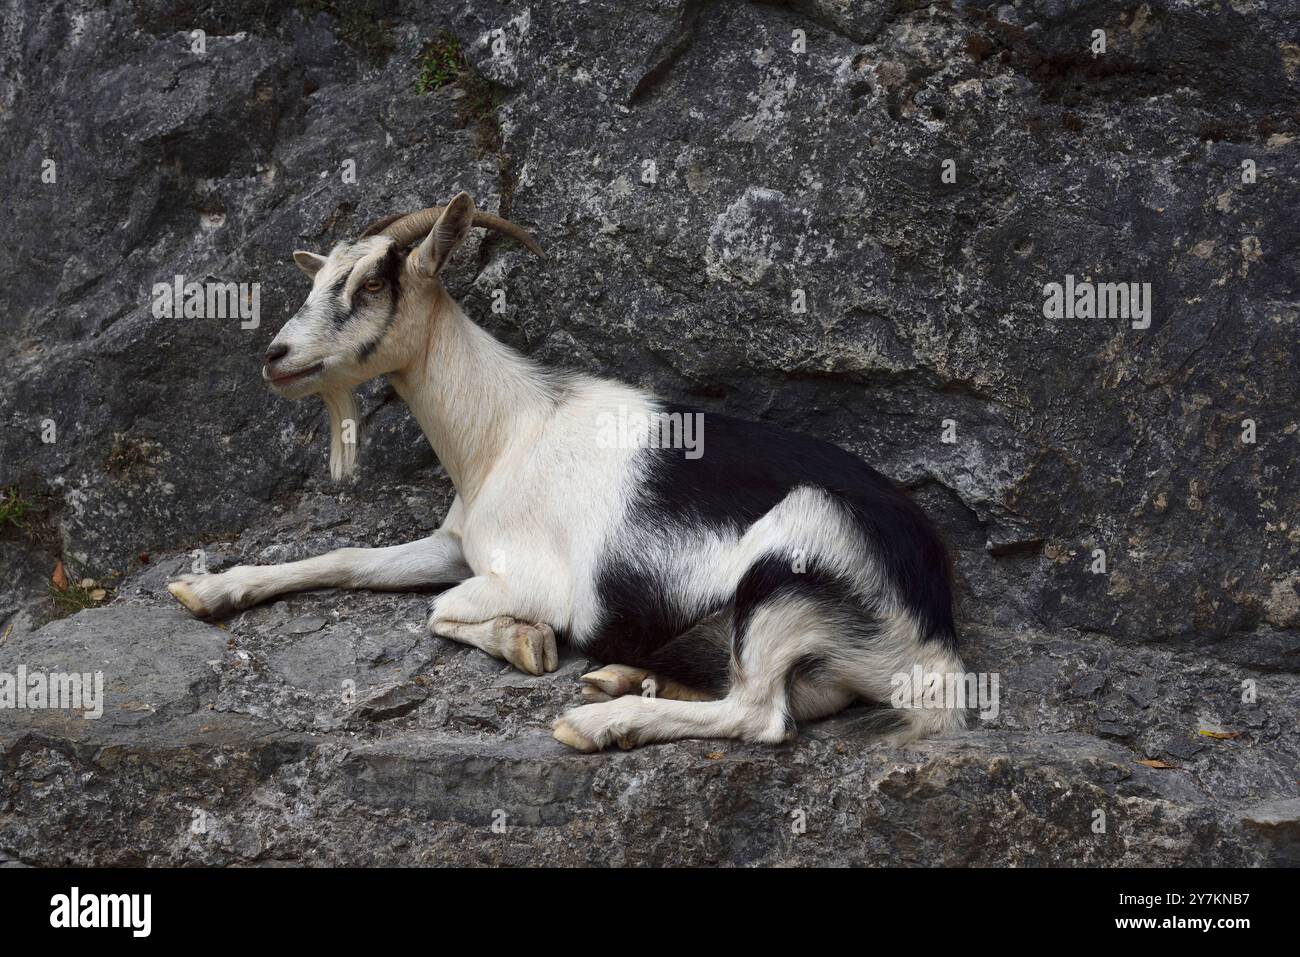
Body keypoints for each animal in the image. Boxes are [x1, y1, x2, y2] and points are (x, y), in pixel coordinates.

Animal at [168, 192, 967, 751]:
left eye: (371, 283)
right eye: (320, 279)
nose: (276, 357)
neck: (507, 434)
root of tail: (938, 640)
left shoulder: (535, 579)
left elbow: (441, 610)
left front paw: (526, 641)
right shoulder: (458, 543)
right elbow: (352, 558)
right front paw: (207, 588)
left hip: (789, 566)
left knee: (761, 713)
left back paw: (601, 720)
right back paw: (626, 676)